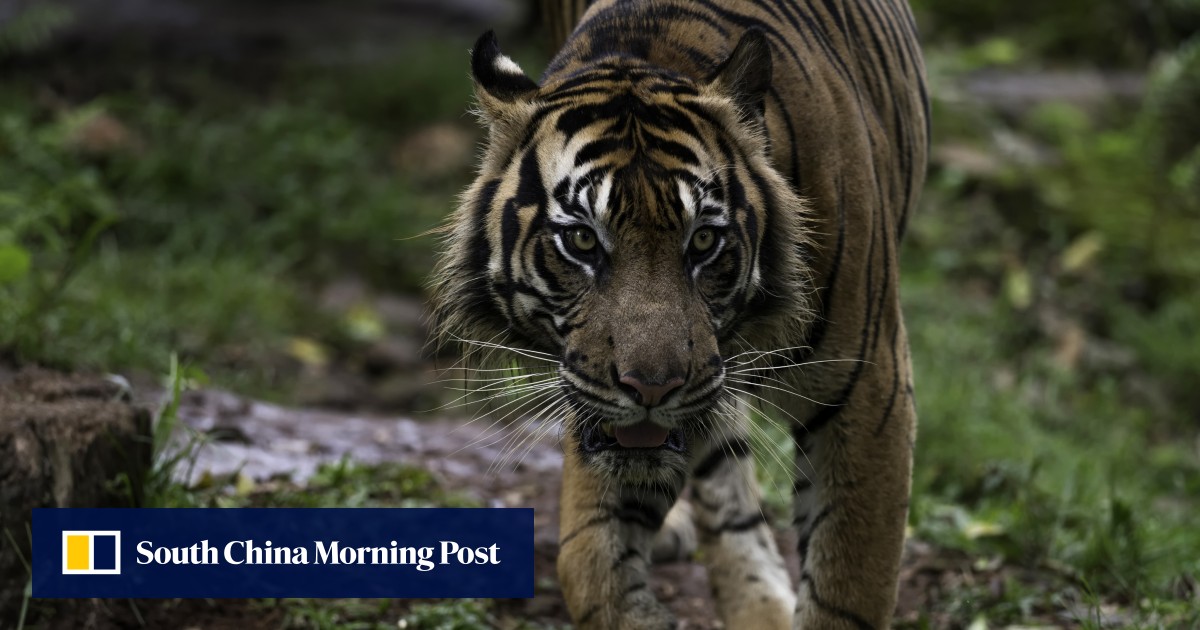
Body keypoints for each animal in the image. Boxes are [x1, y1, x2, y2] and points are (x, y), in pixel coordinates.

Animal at [431, 0, 929, 627]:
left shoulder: (868, 390)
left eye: (704, 241)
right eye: (583, 241)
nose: (652, 388)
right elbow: (590, 564)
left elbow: (848, 585)